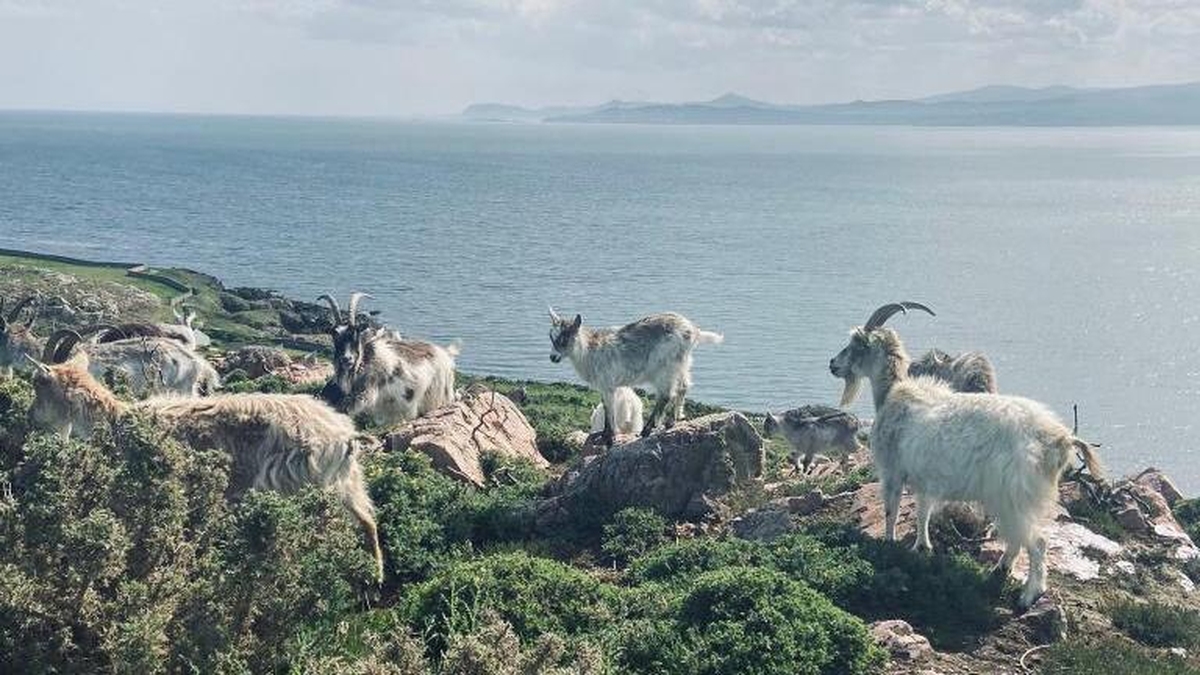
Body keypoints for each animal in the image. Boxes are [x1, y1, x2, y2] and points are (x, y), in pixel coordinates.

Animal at [24, 351, 383, 581]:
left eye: (39, 386)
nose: (31, 419)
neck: (118, 421)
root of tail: (344, 436)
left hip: (305, 481)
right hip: (346, 482)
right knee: (368, 522)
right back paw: (373, 579)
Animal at [318, 292, 458, 427]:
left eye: (356, 334)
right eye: (334, 335)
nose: (347, 359)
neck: (364, 361)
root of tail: (446, 355)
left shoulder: (365, 394)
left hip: (436, 397)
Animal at [548, 308, 723, 447]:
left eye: (564, 338)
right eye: (551, 337)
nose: (553, 357)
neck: (589, 350)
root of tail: (693, 330)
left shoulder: (608, 384)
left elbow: (610, 409)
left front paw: (610, 438)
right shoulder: (604, 387)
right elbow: (606, 407)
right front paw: (603, 434)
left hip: (665, 367)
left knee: (665, 395)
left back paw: (647, 430)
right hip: (682, 363)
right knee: (683, 386)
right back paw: (672, 421)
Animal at [829, 301, 1103, 609]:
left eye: (856, 344)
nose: (833, 364)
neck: (892, 394)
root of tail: (1059, 439)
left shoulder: (892, 471)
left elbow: (891, 511)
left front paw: (888, 545)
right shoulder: (925, 481)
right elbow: (923, 512)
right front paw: (921, 547)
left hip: (1015, 496)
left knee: (1036, 541)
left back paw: (1028, 594)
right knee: (1018, 540)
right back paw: (999, 572)